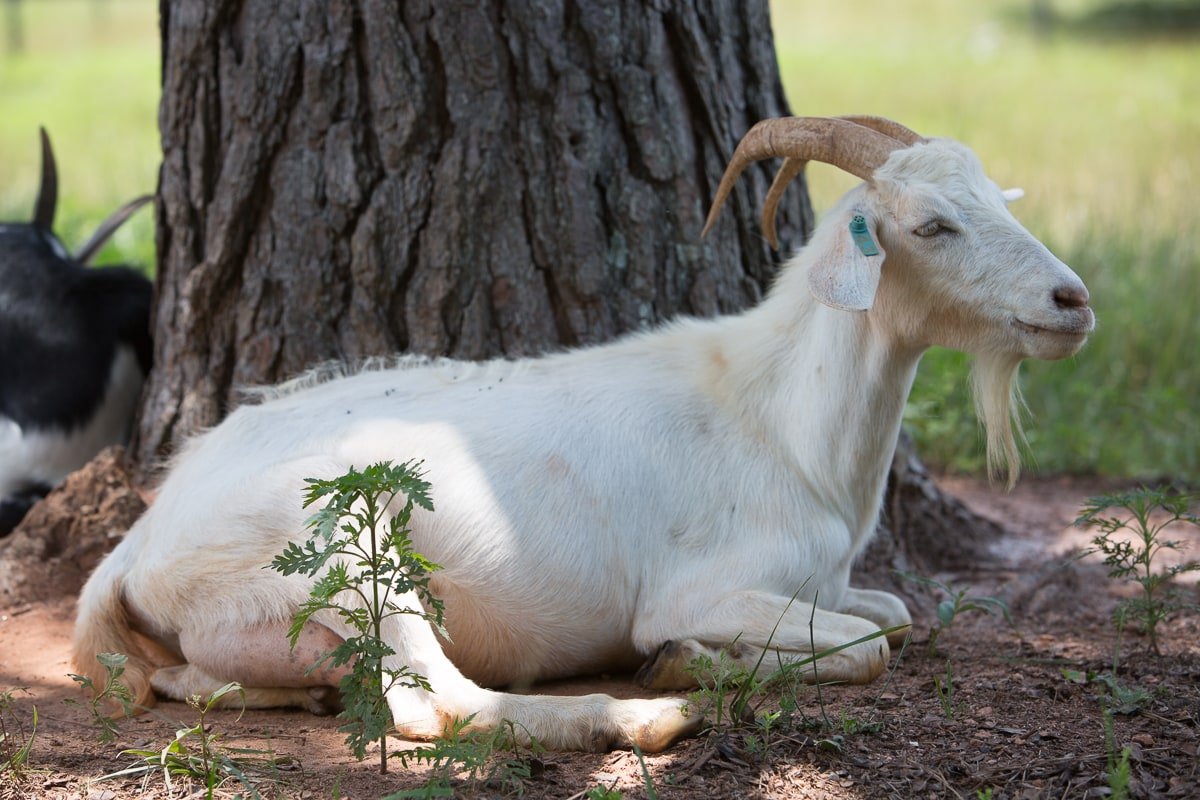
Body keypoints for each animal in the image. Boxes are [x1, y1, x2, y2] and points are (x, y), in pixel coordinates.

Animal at [73, 116, 1093, 752]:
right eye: (933, 224)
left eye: (998, 202)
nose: (1072, 302)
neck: (777, 419)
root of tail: (136, 549)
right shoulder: (701, 586)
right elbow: (868, 645)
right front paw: (691, 659)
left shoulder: (832, 582)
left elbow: (895, 616)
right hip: (350, 547)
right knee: (434, 703)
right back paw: (643, 719)